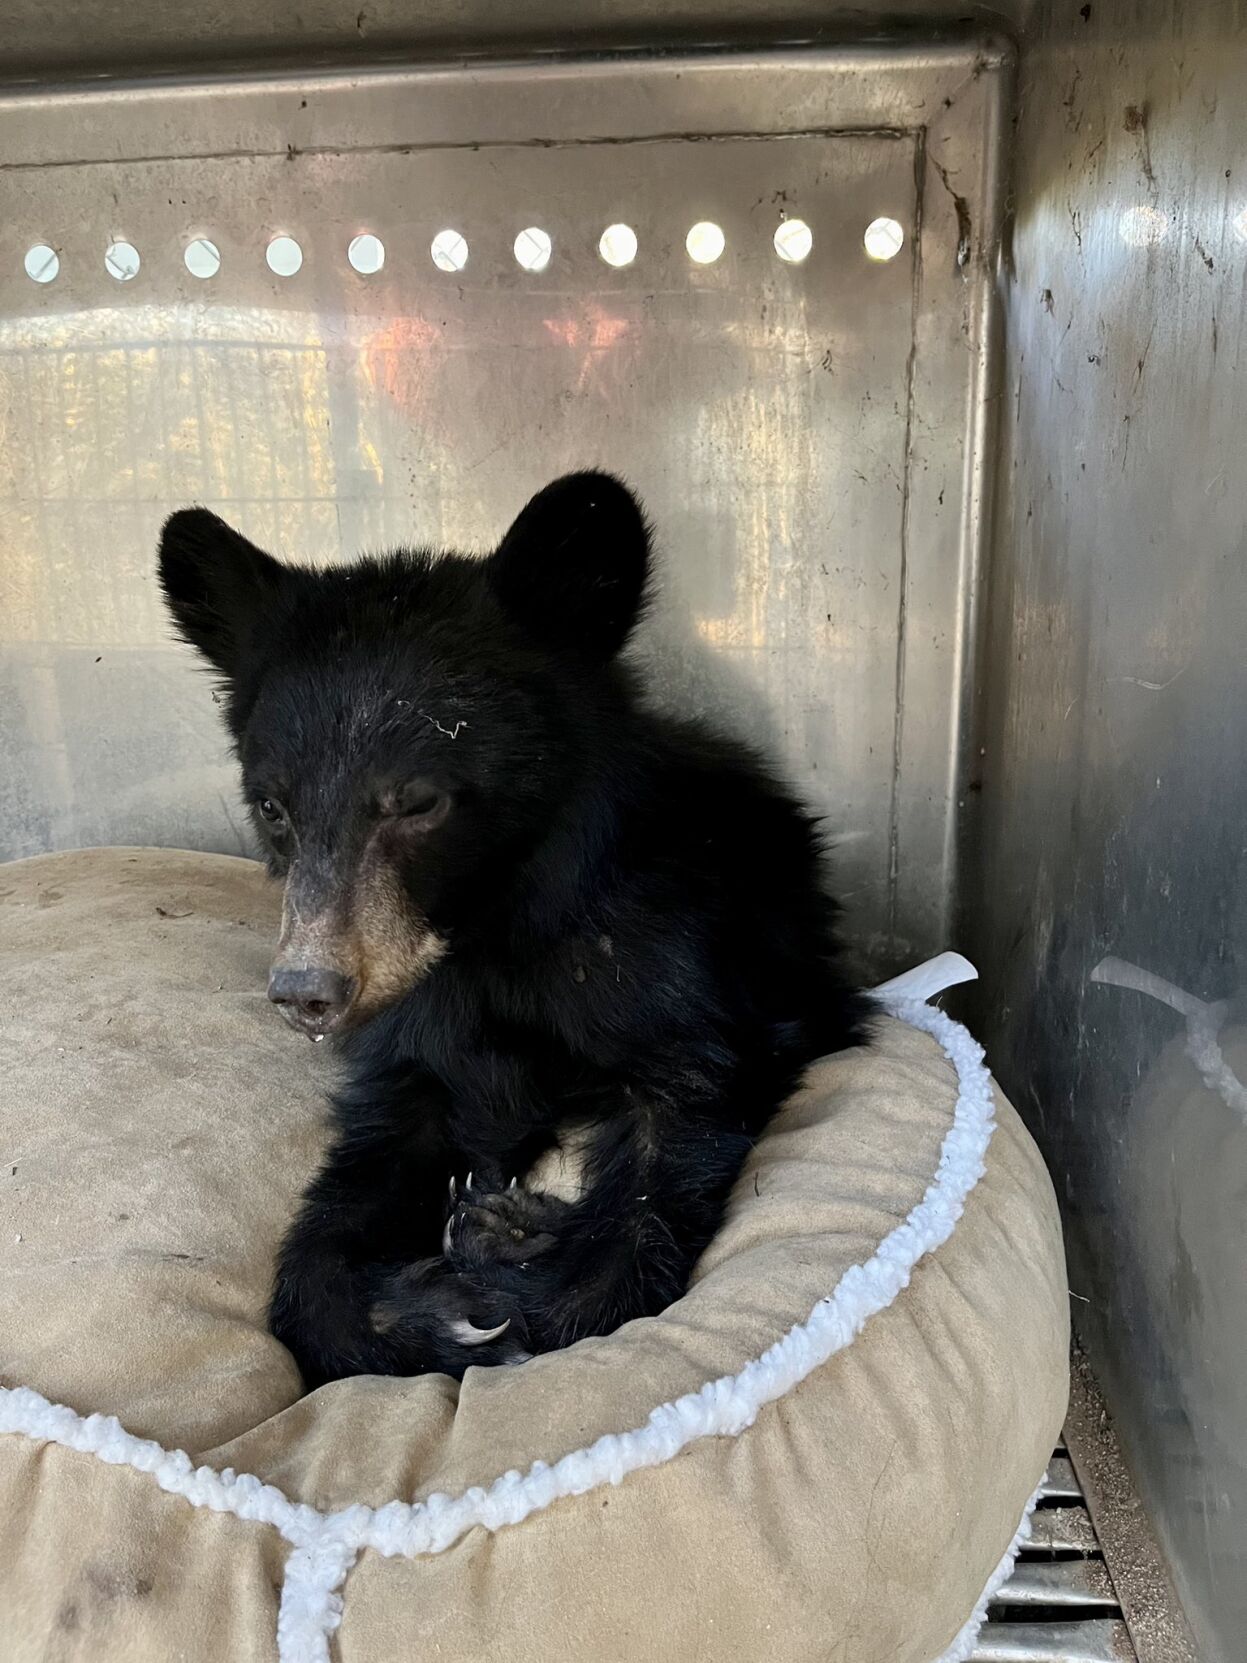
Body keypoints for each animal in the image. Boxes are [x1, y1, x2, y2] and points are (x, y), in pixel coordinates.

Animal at [158, 472, 868, 1385]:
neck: (494, 925)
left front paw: (508, 1264)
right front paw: (415, 1310)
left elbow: (677, 1123)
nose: (308, 992)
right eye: (273, 805)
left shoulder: (664, 956)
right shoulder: (417, 1027)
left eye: (418, 800)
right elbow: (366, 1165)